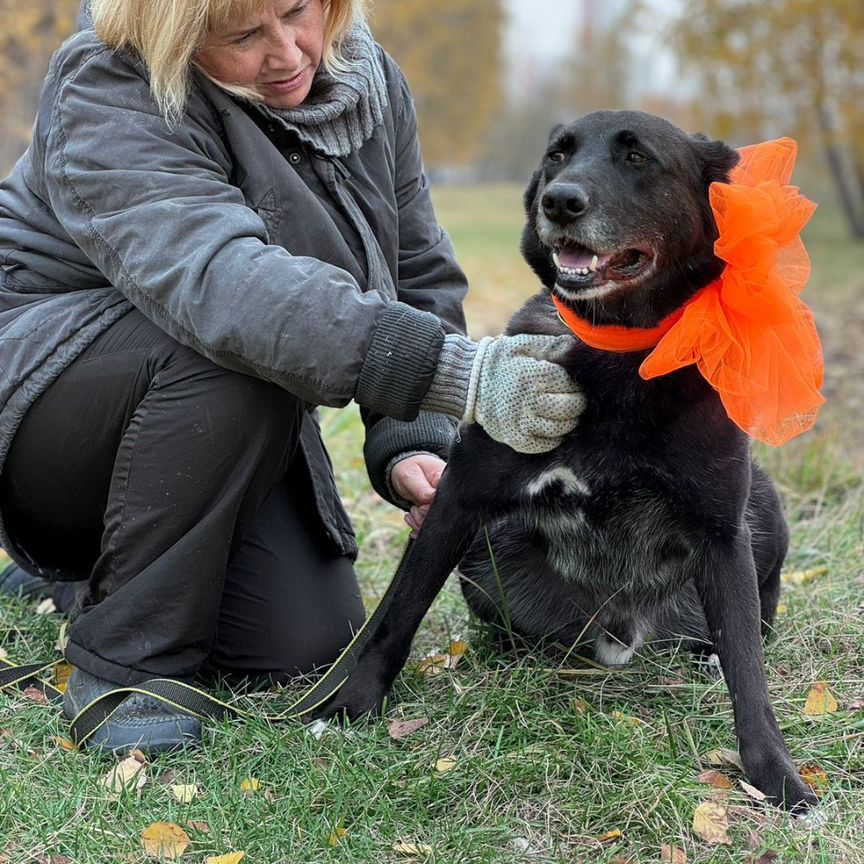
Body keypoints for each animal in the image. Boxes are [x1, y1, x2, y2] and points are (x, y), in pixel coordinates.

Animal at [318, 111, 816, 812]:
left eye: (638, 157)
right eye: (558, 155)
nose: (560, 202)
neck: (622, 353)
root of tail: (624, 636)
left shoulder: (723, 528)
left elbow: (749, 671)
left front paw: (777, 776)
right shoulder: (458, 497)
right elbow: (398, 612)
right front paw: (351, 705)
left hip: (763, 507)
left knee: (750, 624)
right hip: (488, 553)